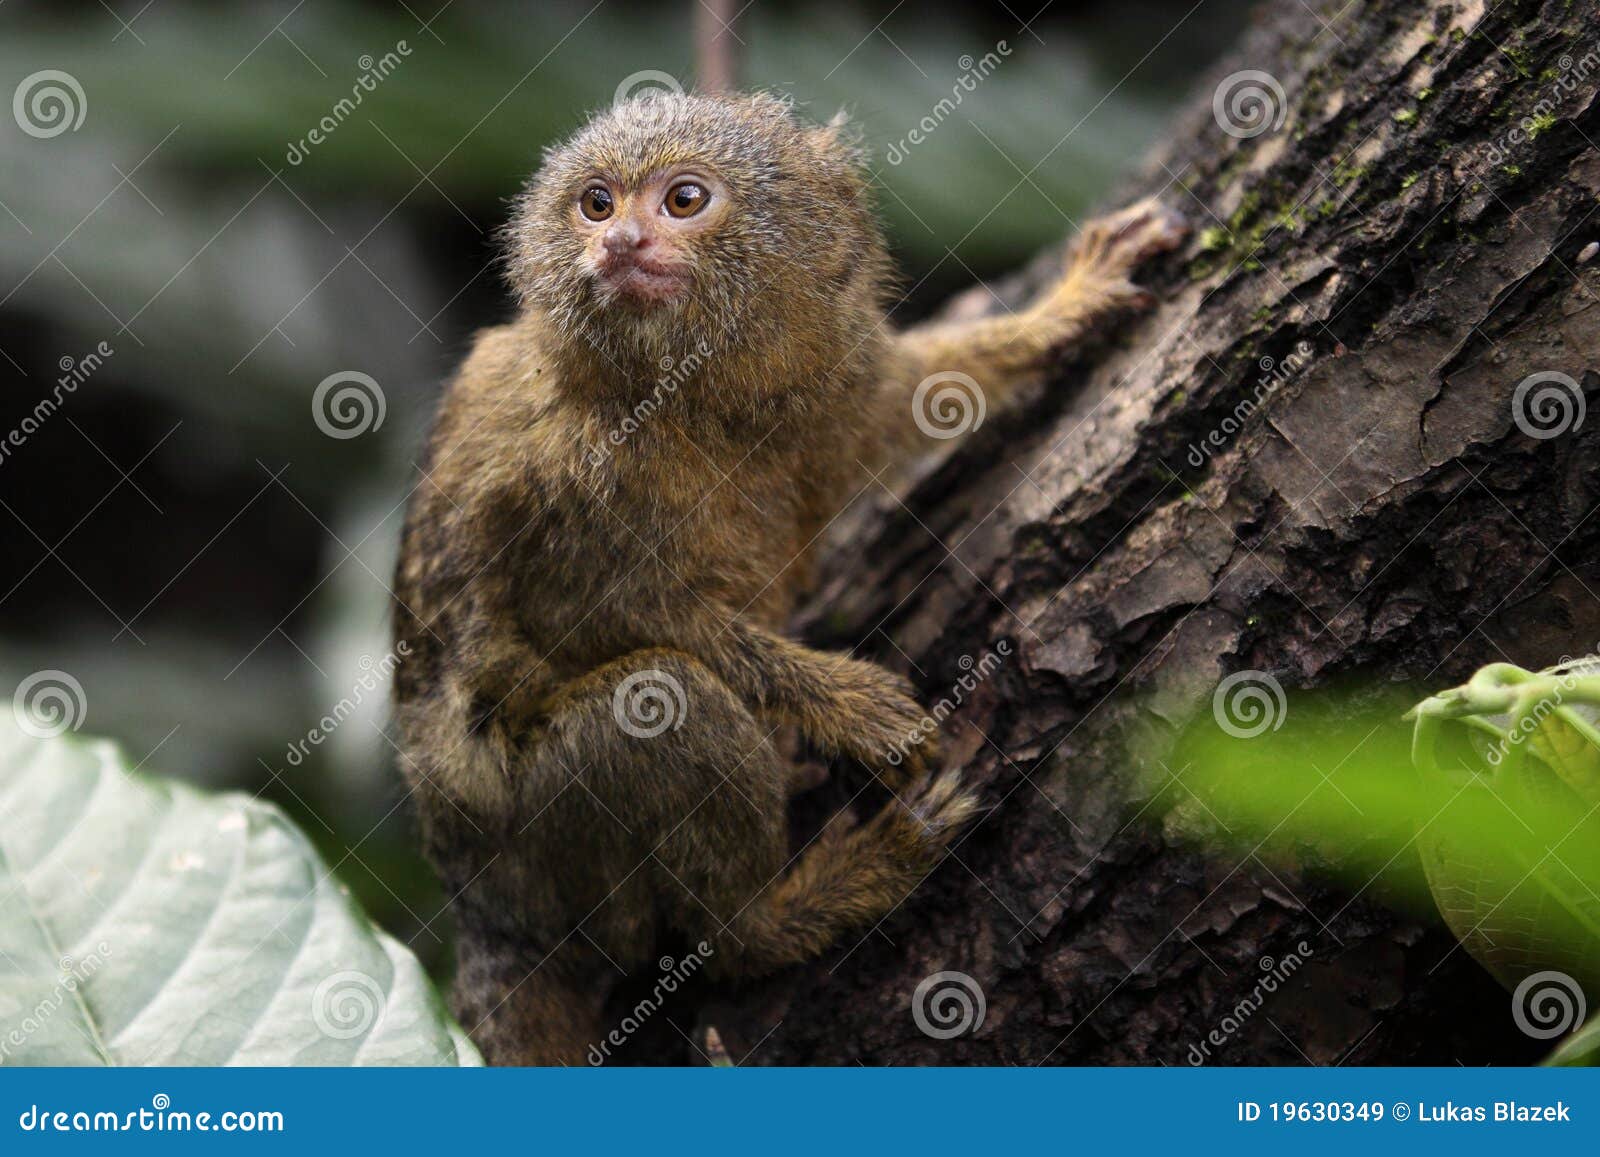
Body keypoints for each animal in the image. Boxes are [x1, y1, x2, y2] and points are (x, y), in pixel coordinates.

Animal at [390, 90, 1185, 1065]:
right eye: (597, 205)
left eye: (684, 200)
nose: (620, 244)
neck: (684, 400)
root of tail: (489, 915)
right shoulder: (560, 477)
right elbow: (603, 617)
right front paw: (851, 707)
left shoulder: (832, 379)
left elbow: (925, 391)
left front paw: (1068, 304)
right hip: (550, 854)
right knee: (663, 717)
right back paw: (803, 904)